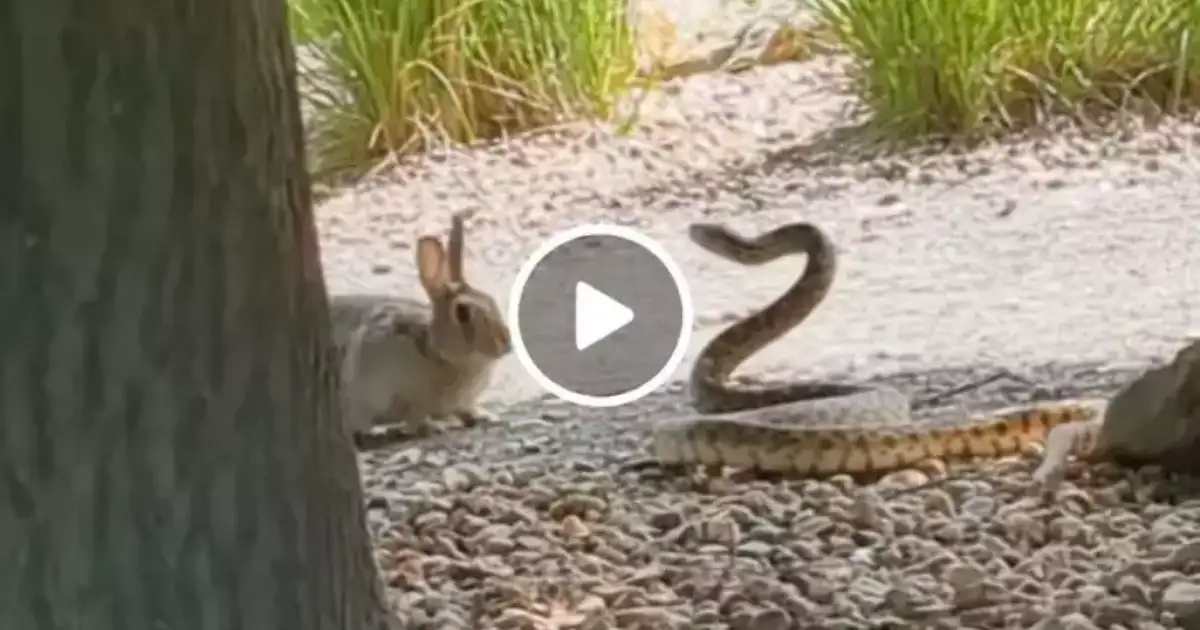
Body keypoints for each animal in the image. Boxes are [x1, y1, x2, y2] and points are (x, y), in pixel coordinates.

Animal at [331, 213, 512, 440]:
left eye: (491, 301)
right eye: (462, 312)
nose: (506, 343)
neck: (436, 351)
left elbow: (465, 410)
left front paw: (484, 417)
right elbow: (414, 416)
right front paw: (433, 427)